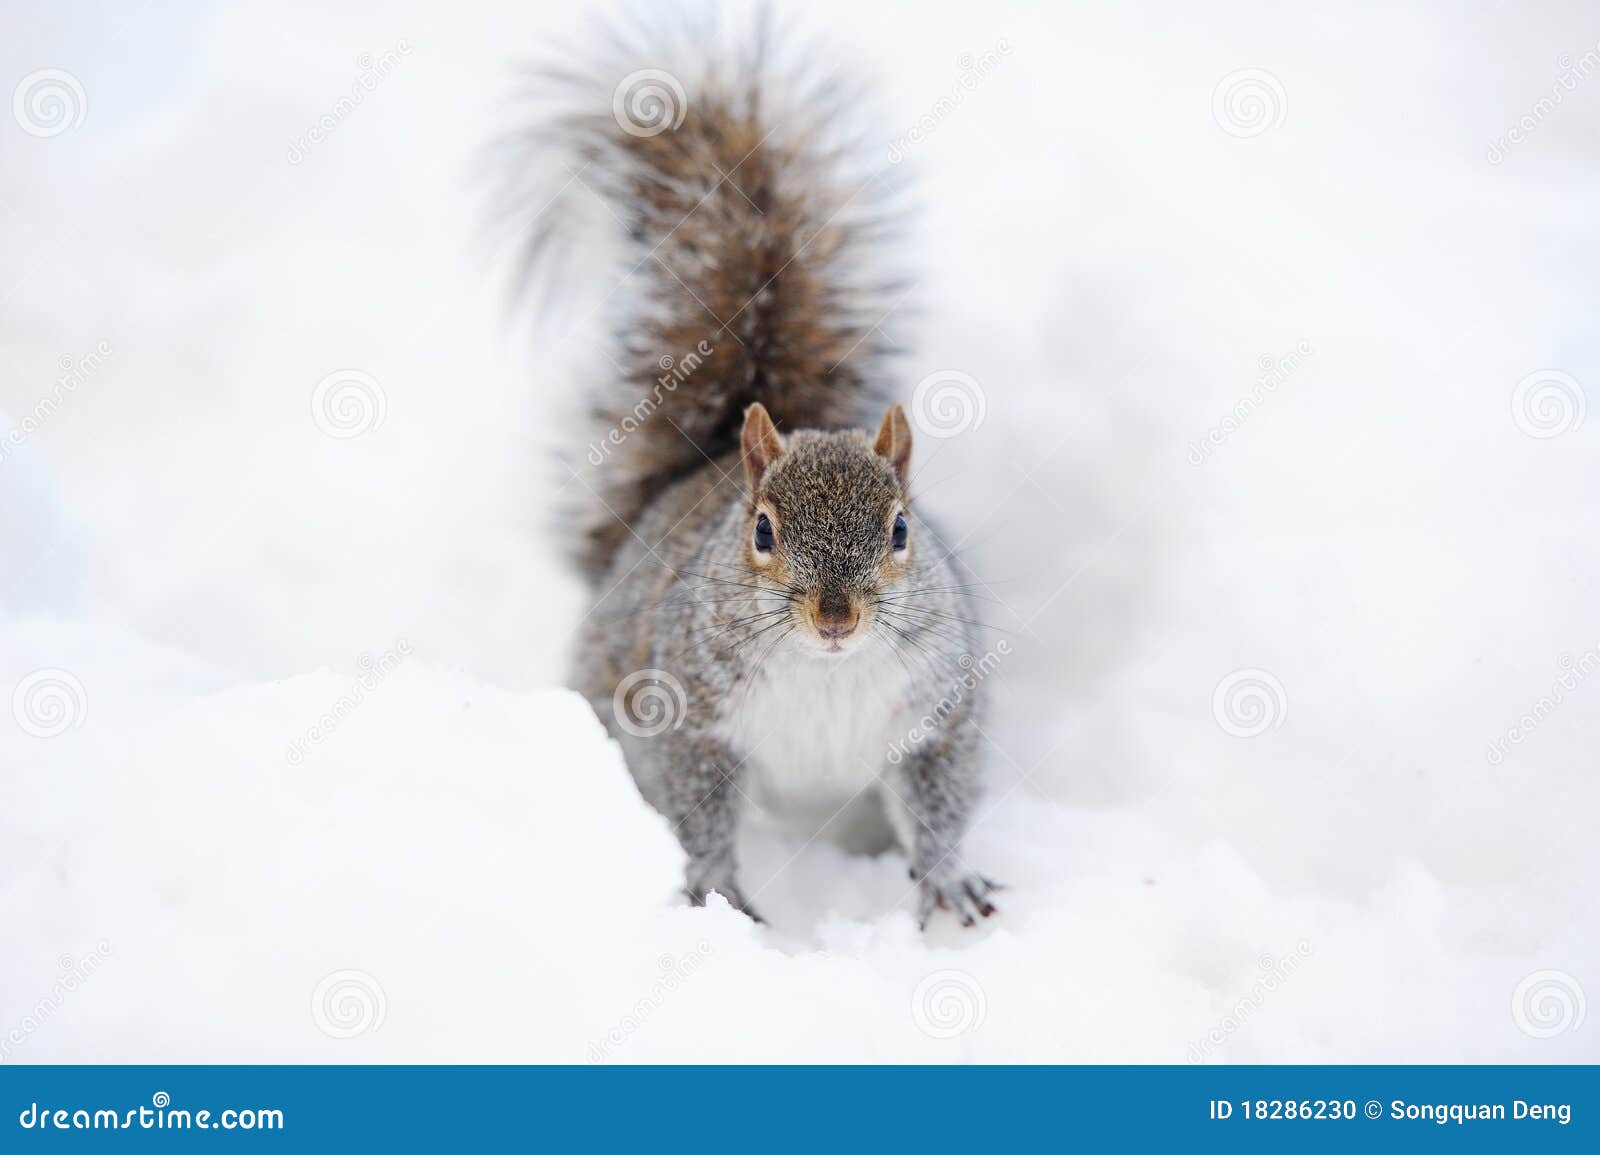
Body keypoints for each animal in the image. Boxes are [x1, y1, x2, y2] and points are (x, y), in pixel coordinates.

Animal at [518, 20, 998, 927]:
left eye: (902, 529)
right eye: (763, 531)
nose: (836, 616)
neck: (826, 668)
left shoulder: (938, 709)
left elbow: (940, 795)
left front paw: (949, 877)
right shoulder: (685, 711)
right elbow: (698, 810)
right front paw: (715, 887)